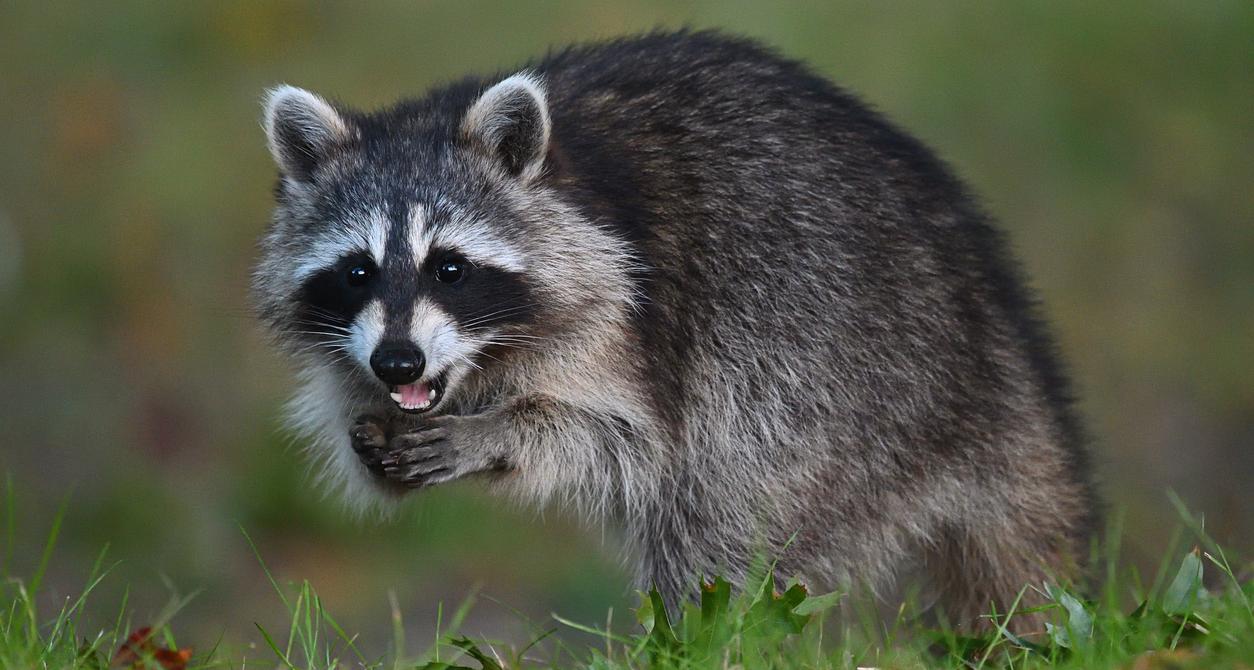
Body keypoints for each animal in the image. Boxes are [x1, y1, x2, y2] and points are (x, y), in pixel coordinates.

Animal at [253, 31, 1096, 629]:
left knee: (725, 515)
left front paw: (499, 432)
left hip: (834, 369)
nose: (398, 362)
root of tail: (991, 329)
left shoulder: (632, 310)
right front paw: (379, 440)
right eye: (357, 272)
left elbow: (625, 440)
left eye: (449, 269)